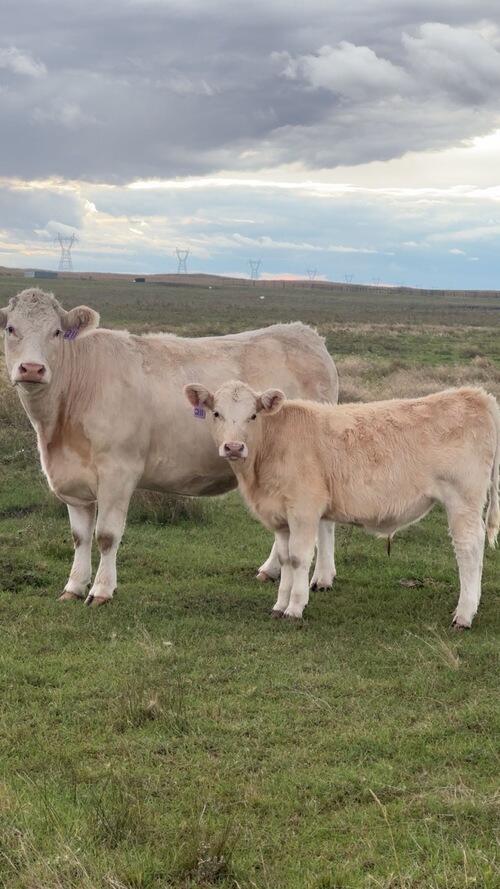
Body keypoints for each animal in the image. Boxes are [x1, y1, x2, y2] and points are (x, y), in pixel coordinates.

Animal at [1, 288, 338, 606]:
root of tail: (303, 332)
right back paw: (272, 570)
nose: (32, 369)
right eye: (11, 328)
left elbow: (106, 535)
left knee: (324, 521)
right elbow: (80, 537)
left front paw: (101, 590)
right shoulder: (72, 478)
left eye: (56, 332)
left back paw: (322, 577)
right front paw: (73, 587)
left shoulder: (118, 472)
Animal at [184, 380, 500, 627]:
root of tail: (475, 395)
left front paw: (295, 608)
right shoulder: (280, 518)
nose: (234, 447)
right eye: (217, 413)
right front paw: (279, 605)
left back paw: (464, 614)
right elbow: (285, 559)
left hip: (463, 500)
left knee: (468, 549)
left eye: (252, 415)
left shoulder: (304, 510)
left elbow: (299, 558)